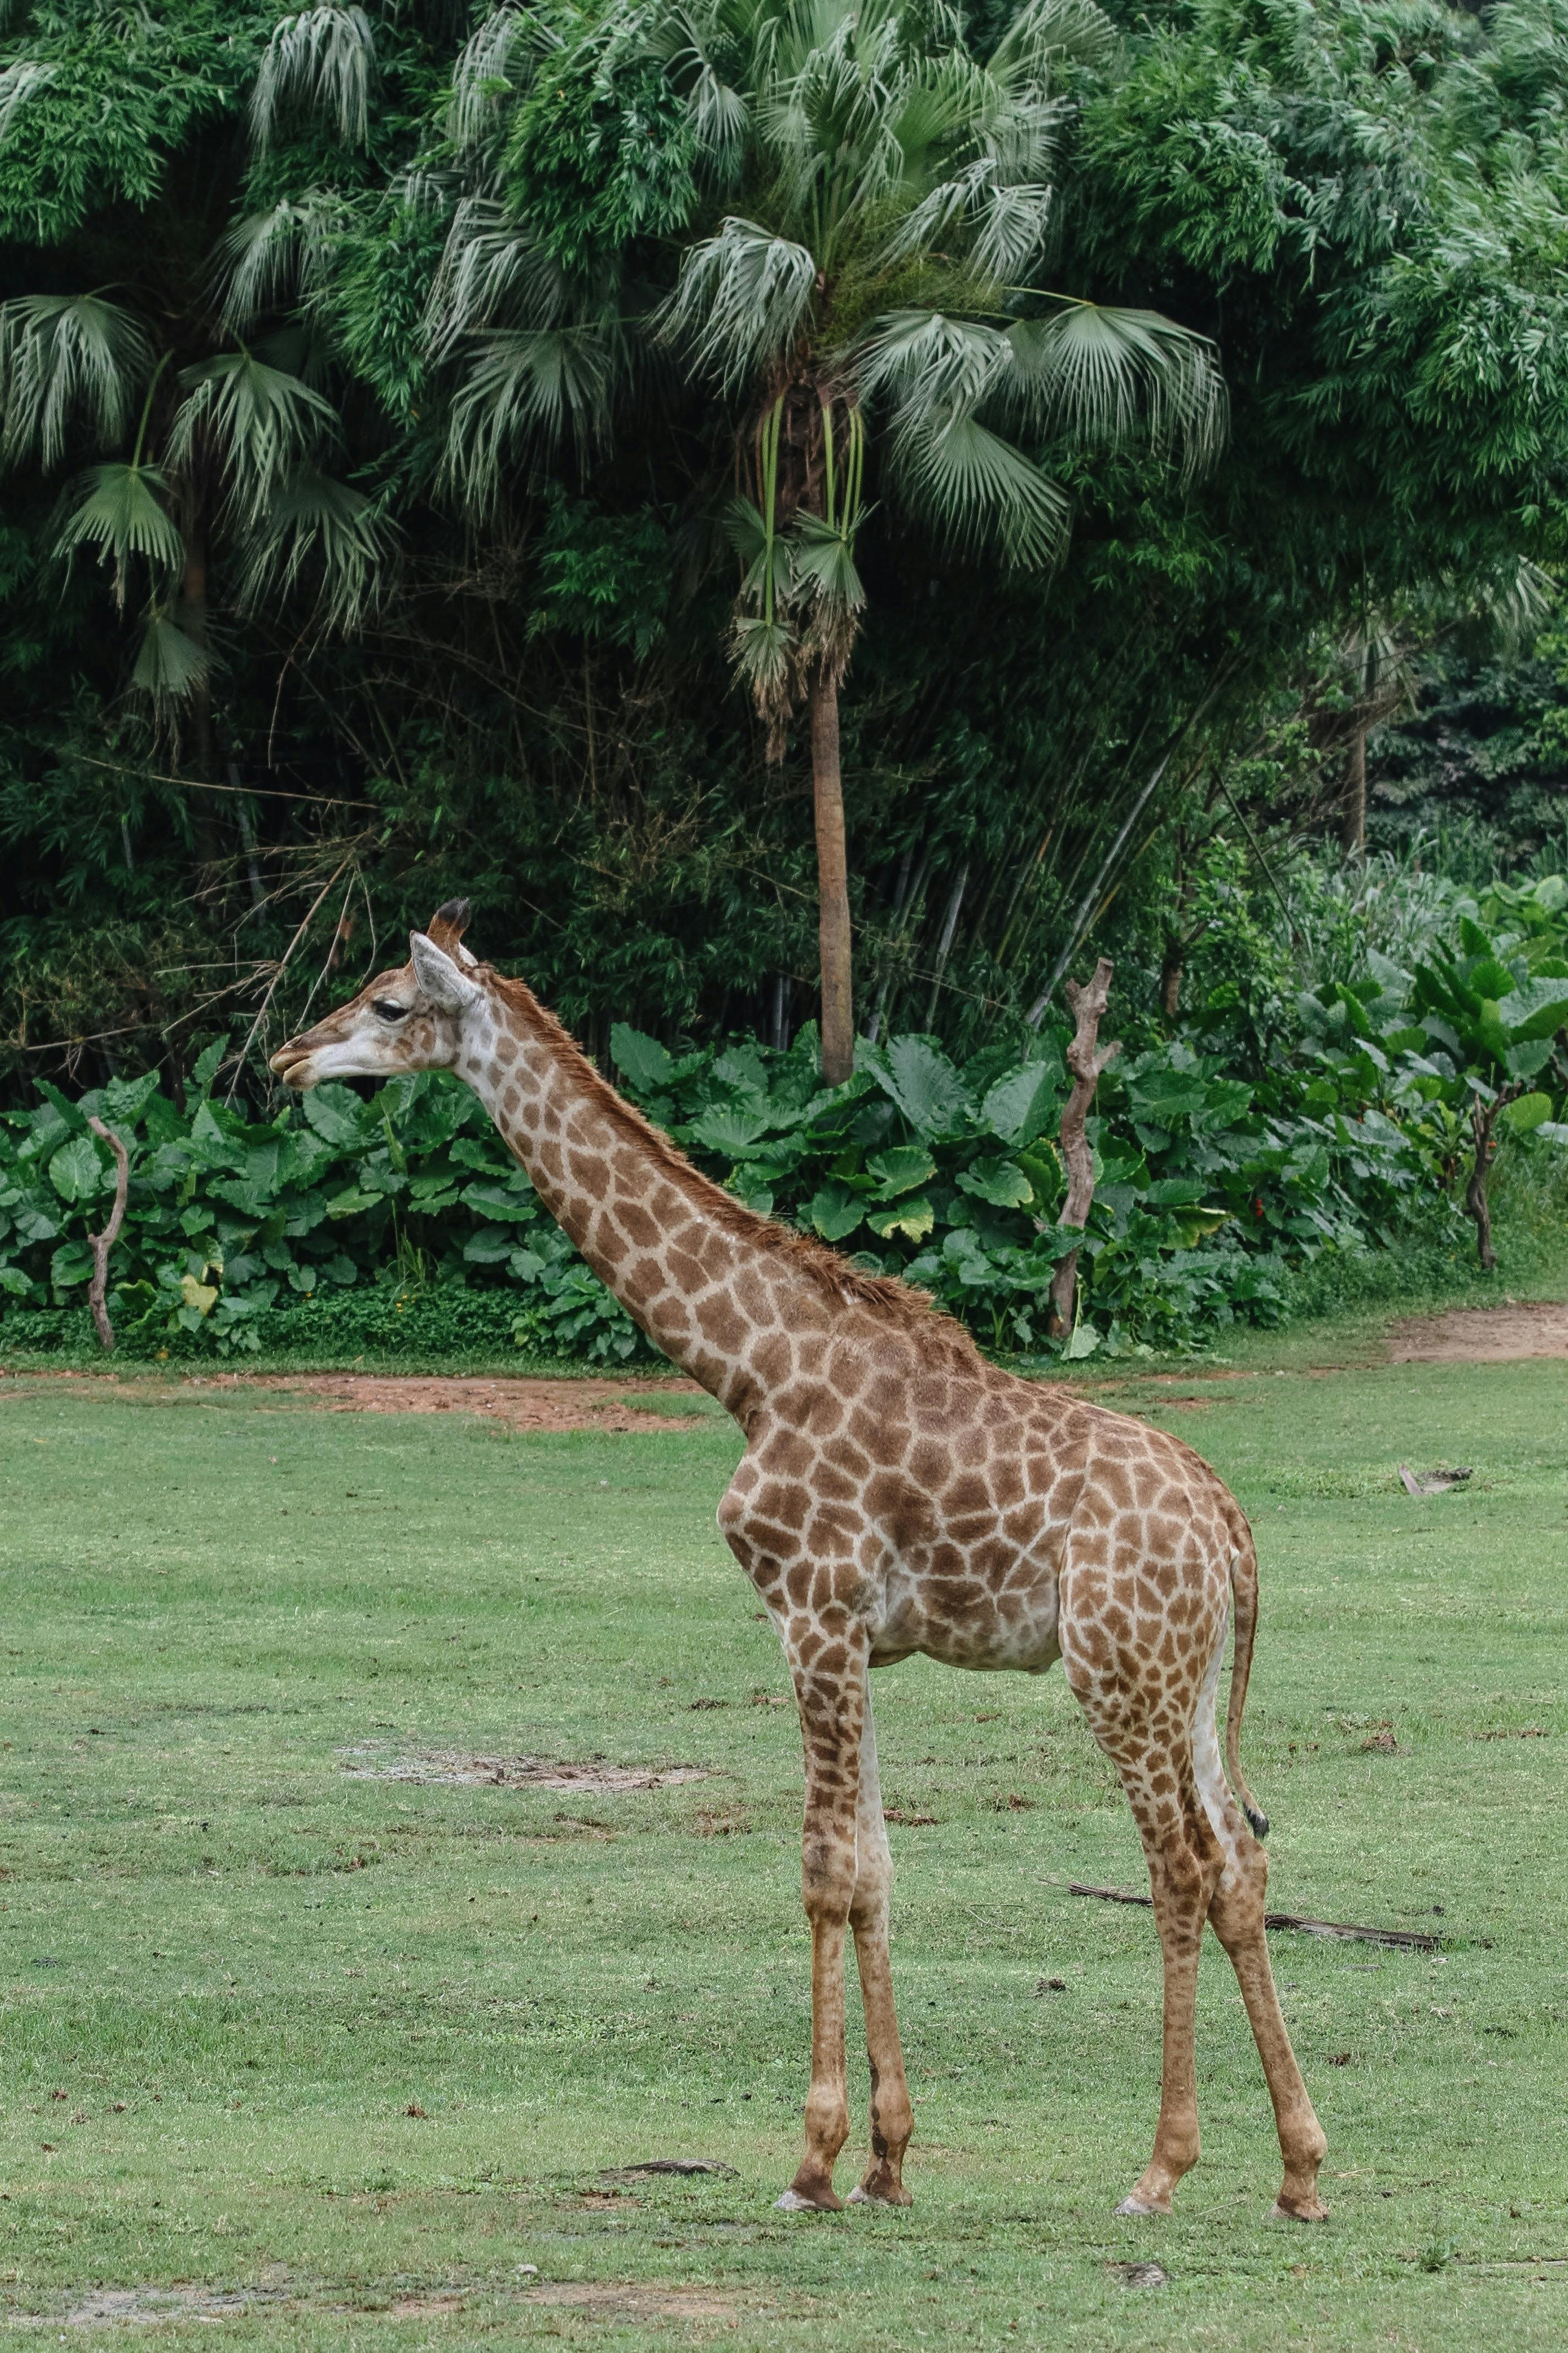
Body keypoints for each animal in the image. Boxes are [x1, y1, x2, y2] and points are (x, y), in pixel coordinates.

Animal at [270, 902, 1328, 2224]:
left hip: (1117, 1671)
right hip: (1186, 1680)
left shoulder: (810, 1613)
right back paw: (1299, 2169)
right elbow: (875, 1867)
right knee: (1243, 1860)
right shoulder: (860, 1639)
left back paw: (1159, 2168)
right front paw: (886, 2158)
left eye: (389, 1003)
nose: (286, 1059)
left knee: (1179, 1867)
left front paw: (813, 2159)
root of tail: (1230, 1525)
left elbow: (823, 1869)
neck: (748, 1370)